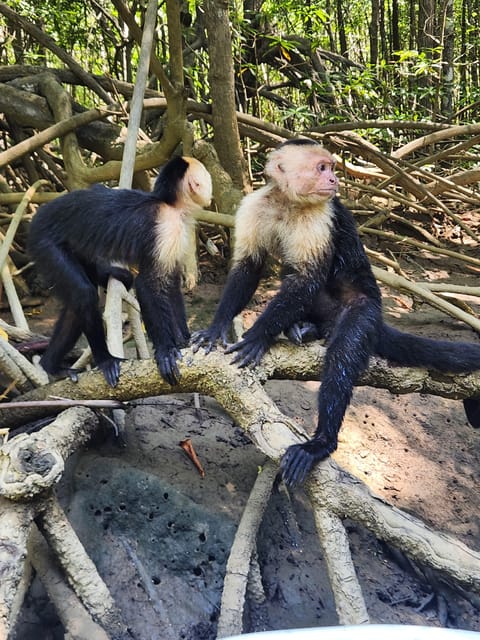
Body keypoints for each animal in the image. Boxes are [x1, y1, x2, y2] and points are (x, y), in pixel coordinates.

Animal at [28, 155, 212, 388]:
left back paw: (51, 367)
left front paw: (182, 340)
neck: (170, 204)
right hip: (45, 242)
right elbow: (148, 284)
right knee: (83, 294)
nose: (210, 181)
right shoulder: (167, 228)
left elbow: (170, 284)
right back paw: (105, 360)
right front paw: (165, 351)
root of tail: (39, 215)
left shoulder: (178, 232)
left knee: (75, 305)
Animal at [191, 139, 480, 486]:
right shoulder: (254, 205)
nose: (334, 179)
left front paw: (257, 335)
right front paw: (217, 327)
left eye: (330, 167)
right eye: (321, 168)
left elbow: (308, 278)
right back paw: (304, 328)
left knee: (341, 356)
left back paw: (320, 443)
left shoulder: (322, 214)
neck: (289, 202)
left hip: (363, 312)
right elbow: (249, 266)